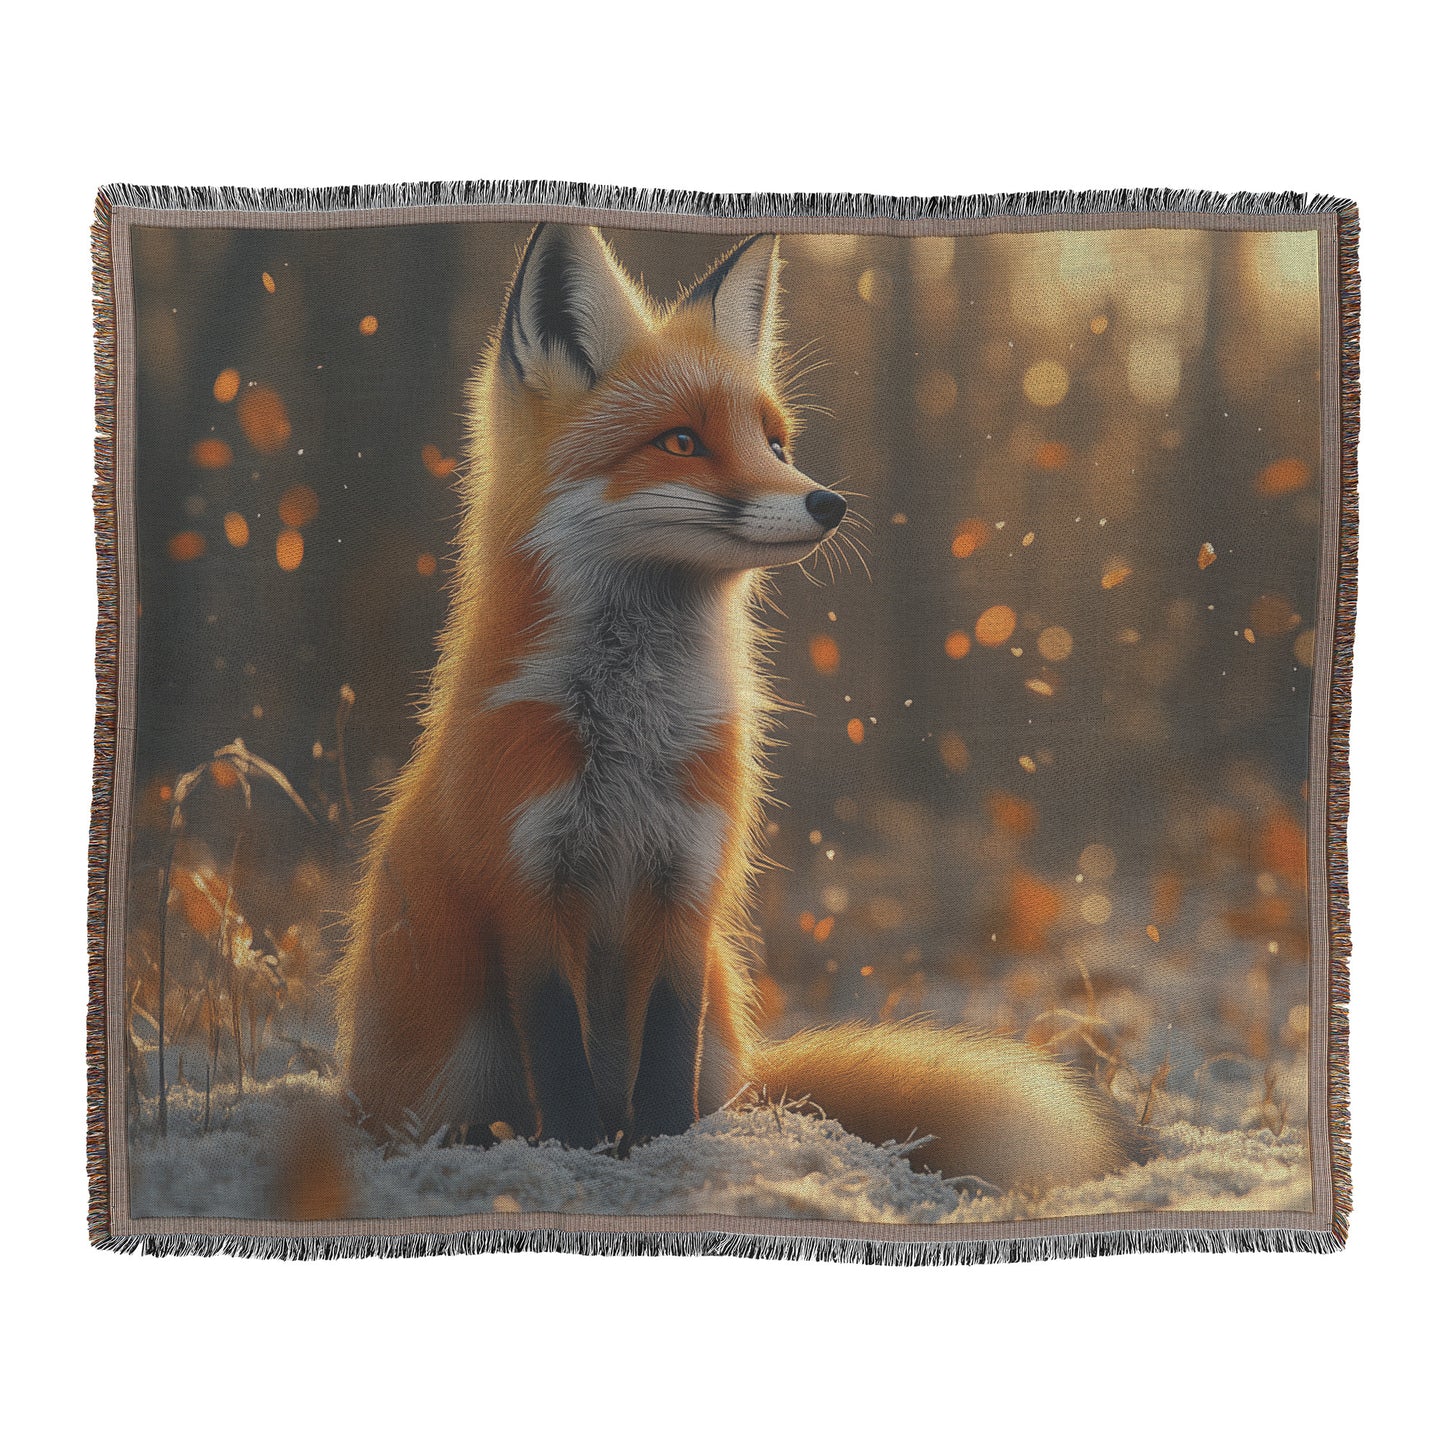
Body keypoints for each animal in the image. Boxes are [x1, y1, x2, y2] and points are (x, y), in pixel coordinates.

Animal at [334, 223, 1135, 1193]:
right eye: (680, 440)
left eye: (775, 443)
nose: (829, 502)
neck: (630, 736)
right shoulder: (526, 888)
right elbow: (559, 1060)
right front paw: (579, 1161)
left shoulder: (690, 880)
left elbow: (665, 1058)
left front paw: (669, 1152)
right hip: (460, 1055)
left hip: (716, 1033)